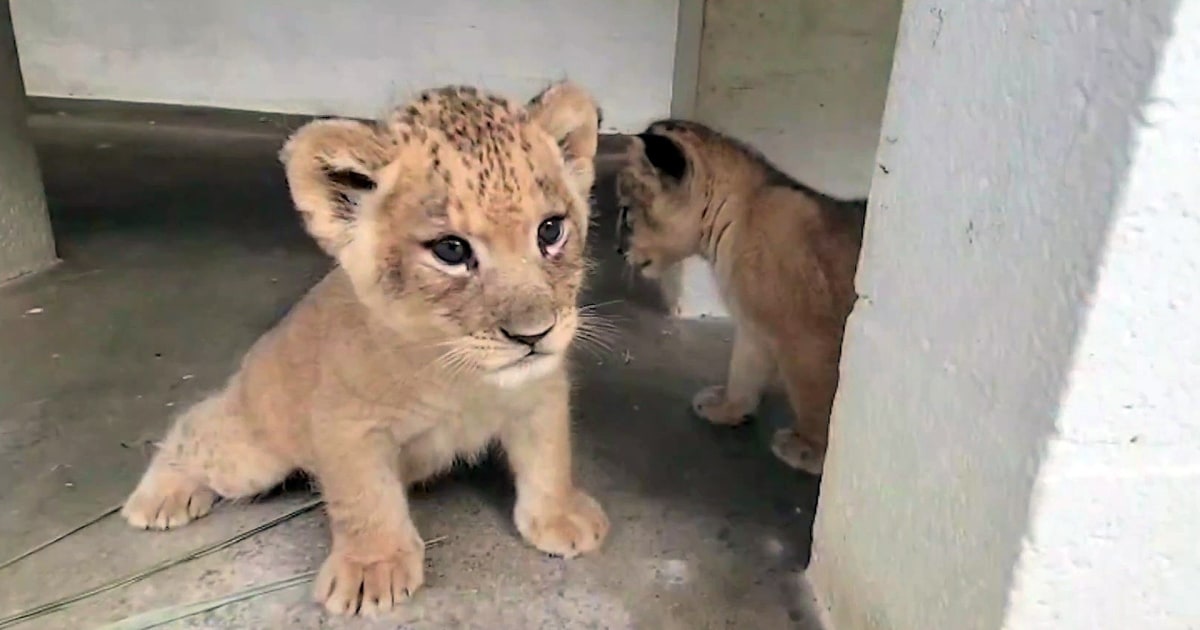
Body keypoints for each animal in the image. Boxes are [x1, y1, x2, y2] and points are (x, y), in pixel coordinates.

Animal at [119, 81, 610, 616]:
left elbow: (549, 455)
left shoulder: (540, 391)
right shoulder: (345, 420)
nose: (533, 334)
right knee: (196, 424)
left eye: (550, 230)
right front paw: (373, 568)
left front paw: (560, 515)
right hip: (252, 452)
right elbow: (364, 495)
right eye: (452, 250)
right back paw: (159, 499)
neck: (464, 377)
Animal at [614, 119, 866, 475]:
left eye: (626, 212)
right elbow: (742, 372)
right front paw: (728, 408)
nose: (617, 249)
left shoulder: (808, 339)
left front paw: (812, 449)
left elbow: (814, 393)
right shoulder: (753, 327)